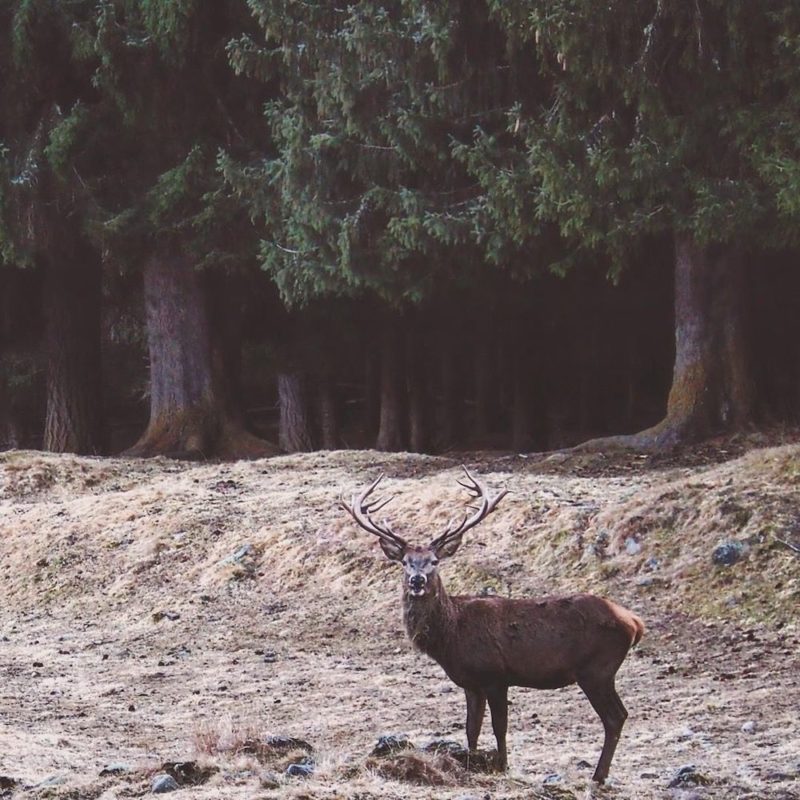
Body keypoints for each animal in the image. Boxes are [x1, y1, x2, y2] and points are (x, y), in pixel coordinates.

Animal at [341, 467, 644, 784]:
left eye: (434, 561)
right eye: (405, 562)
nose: (417, 580)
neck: (452, 635)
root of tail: (635, 622)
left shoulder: (496, 675)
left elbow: (500, 726)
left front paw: (502, 765)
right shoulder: (470, 683)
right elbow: (471, 727)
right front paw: (471, 761)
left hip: (597, 669)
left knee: (615, 716)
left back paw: (598, 775)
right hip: (599, 672)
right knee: (618, 715)